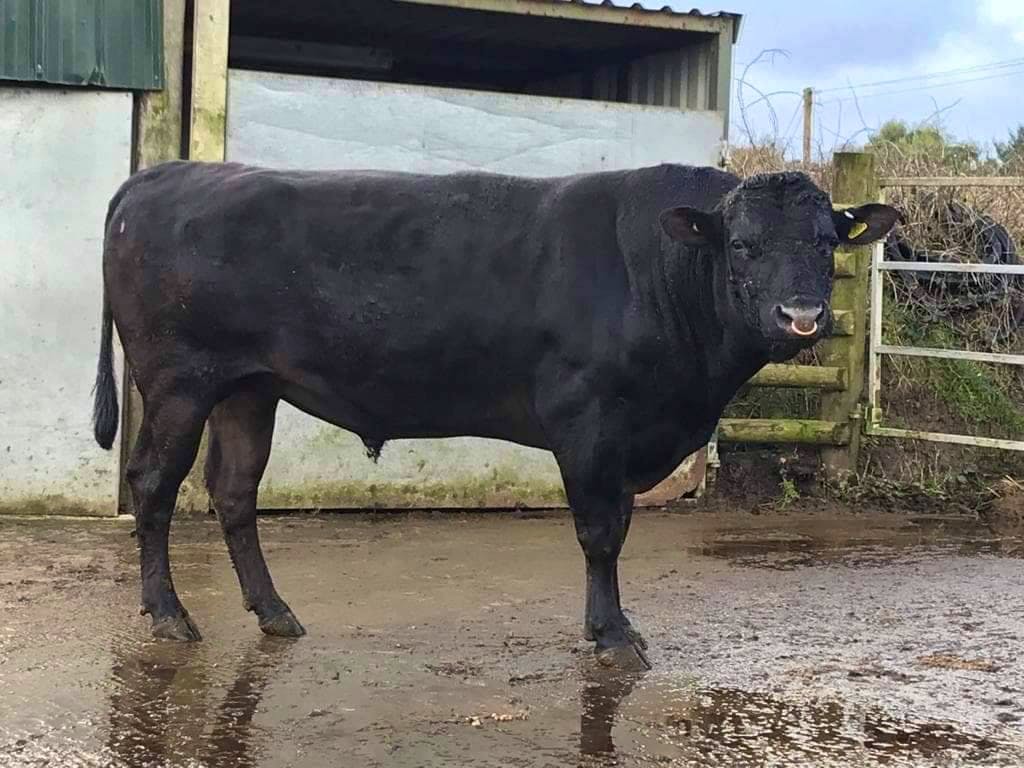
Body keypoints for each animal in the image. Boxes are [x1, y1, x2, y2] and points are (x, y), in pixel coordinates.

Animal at [93, 161, 898, 669]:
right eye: (742, 244)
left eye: (825, 243)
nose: (801, 315)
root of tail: (171, 172)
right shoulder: (589, 422)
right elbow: (601, 535)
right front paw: (612, 635)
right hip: (178, 381)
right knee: (153, 485)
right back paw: (169, 614)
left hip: (248, 387)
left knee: (234, 493)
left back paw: (274, 611)